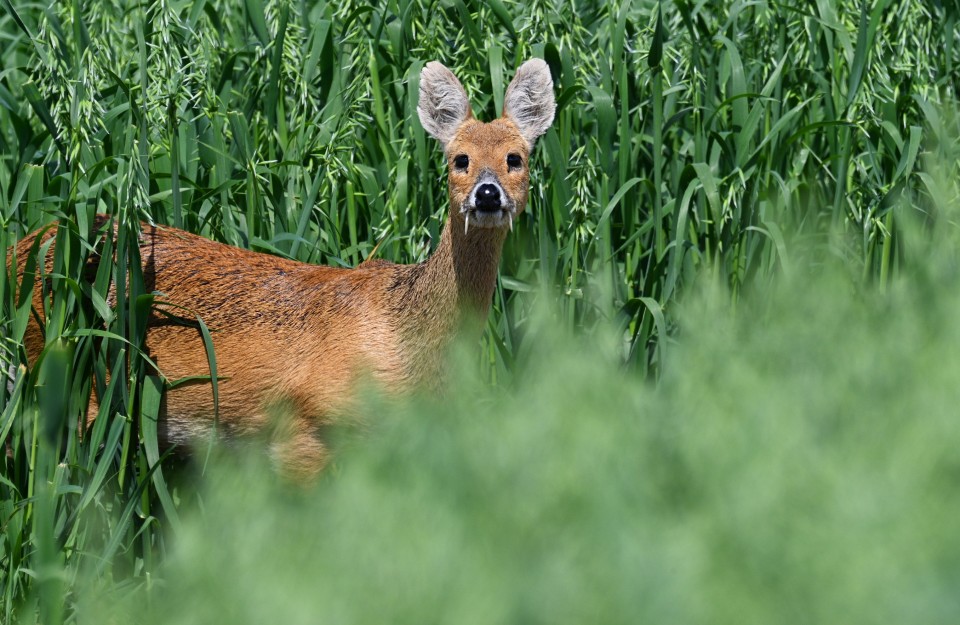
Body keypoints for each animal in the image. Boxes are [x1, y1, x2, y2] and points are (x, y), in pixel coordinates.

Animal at [8, 59, 556, 478]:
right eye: (458, 160)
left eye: (516, 158)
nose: (488, 194)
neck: (406, 337)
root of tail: (24, 245)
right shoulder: (301, 433)